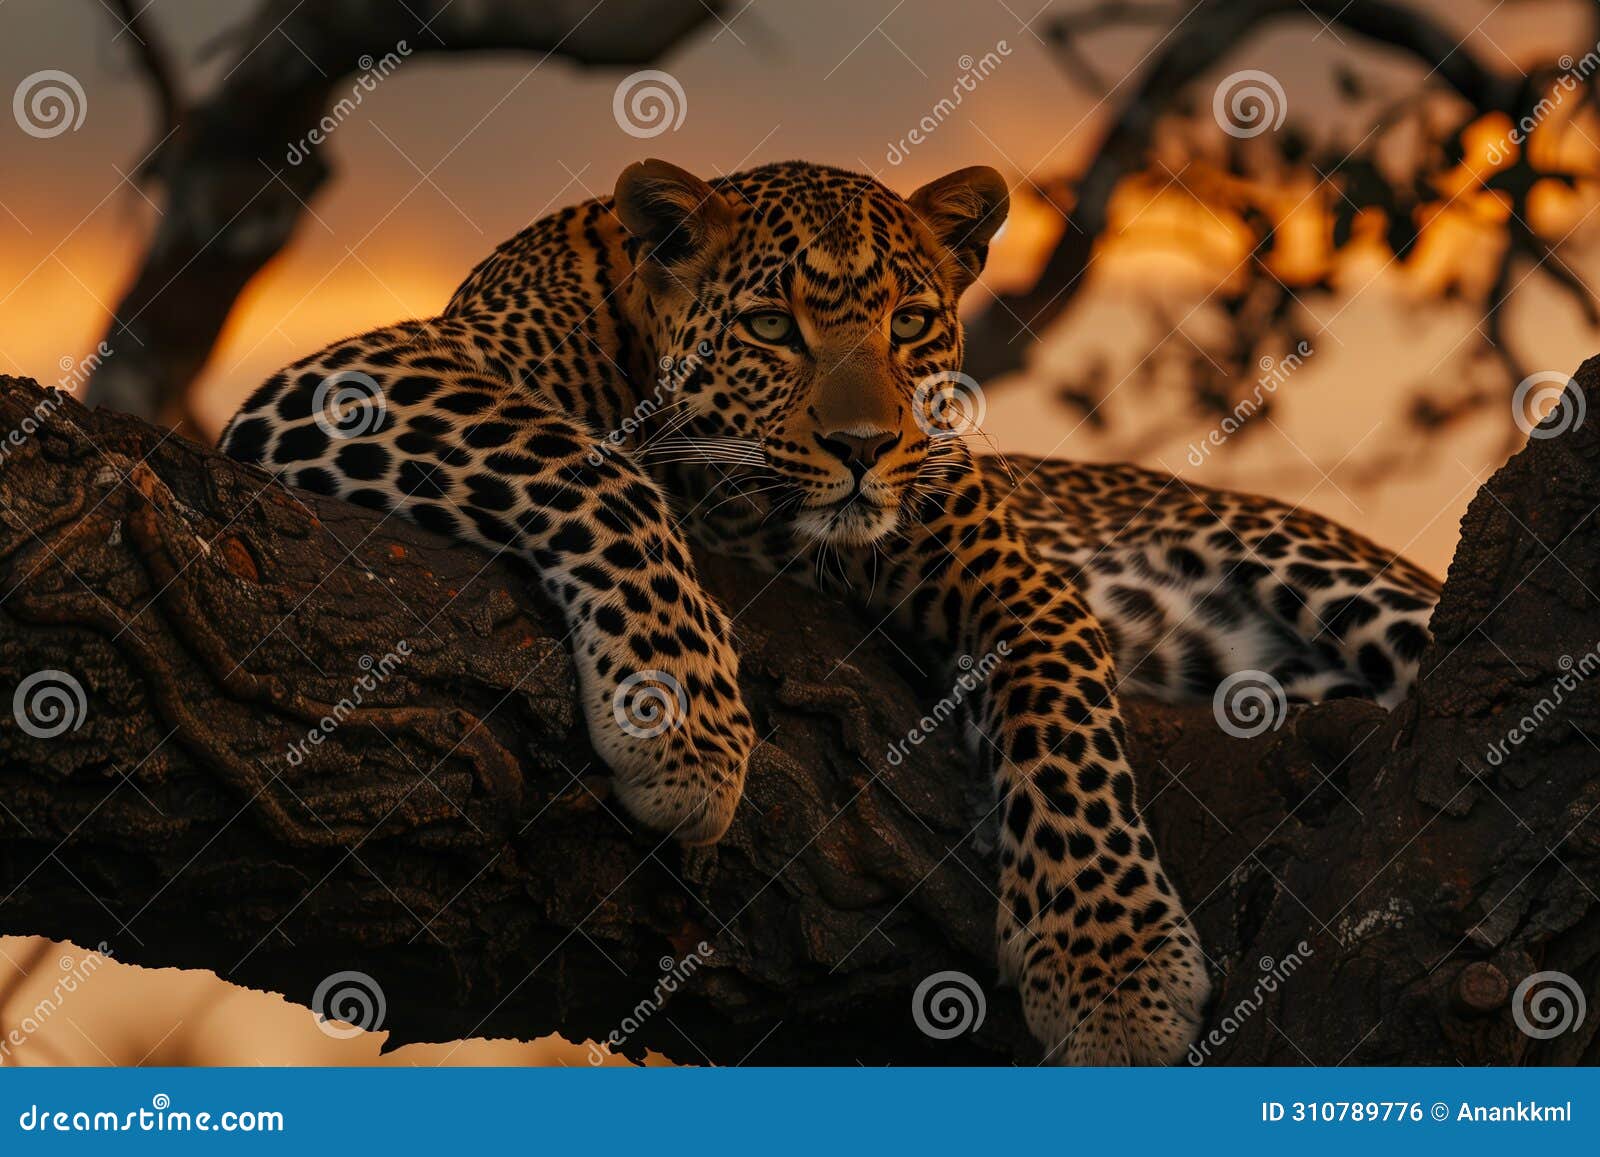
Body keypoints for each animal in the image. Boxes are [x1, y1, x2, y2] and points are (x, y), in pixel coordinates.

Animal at [220, 158, 1440, 1065]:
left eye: (910, 323)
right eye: (770, 326)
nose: (864, 446)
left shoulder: (1005, 566)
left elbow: (1066, 723)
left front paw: (1116, 971)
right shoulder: (345, 384)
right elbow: (589, 465)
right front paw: (687, 728)